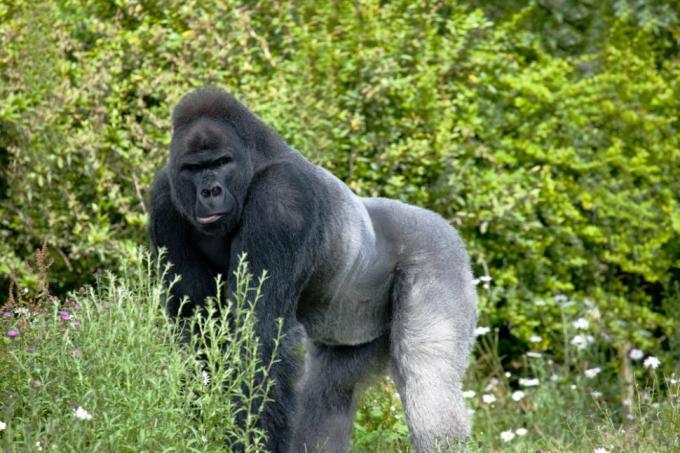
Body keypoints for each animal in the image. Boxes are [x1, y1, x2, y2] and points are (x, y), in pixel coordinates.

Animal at [150, 86, 478, 450]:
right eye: (194, 168)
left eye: (221, 163)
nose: (210, 190)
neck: (253, 164)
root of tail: (444, 225)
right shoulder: (165, 201)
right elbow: (197, 329)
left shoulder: (281, 200)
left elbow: (260, 333)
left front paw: (250, 439)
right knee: (329, 391)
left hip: (439, 256)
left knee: (428, 382)